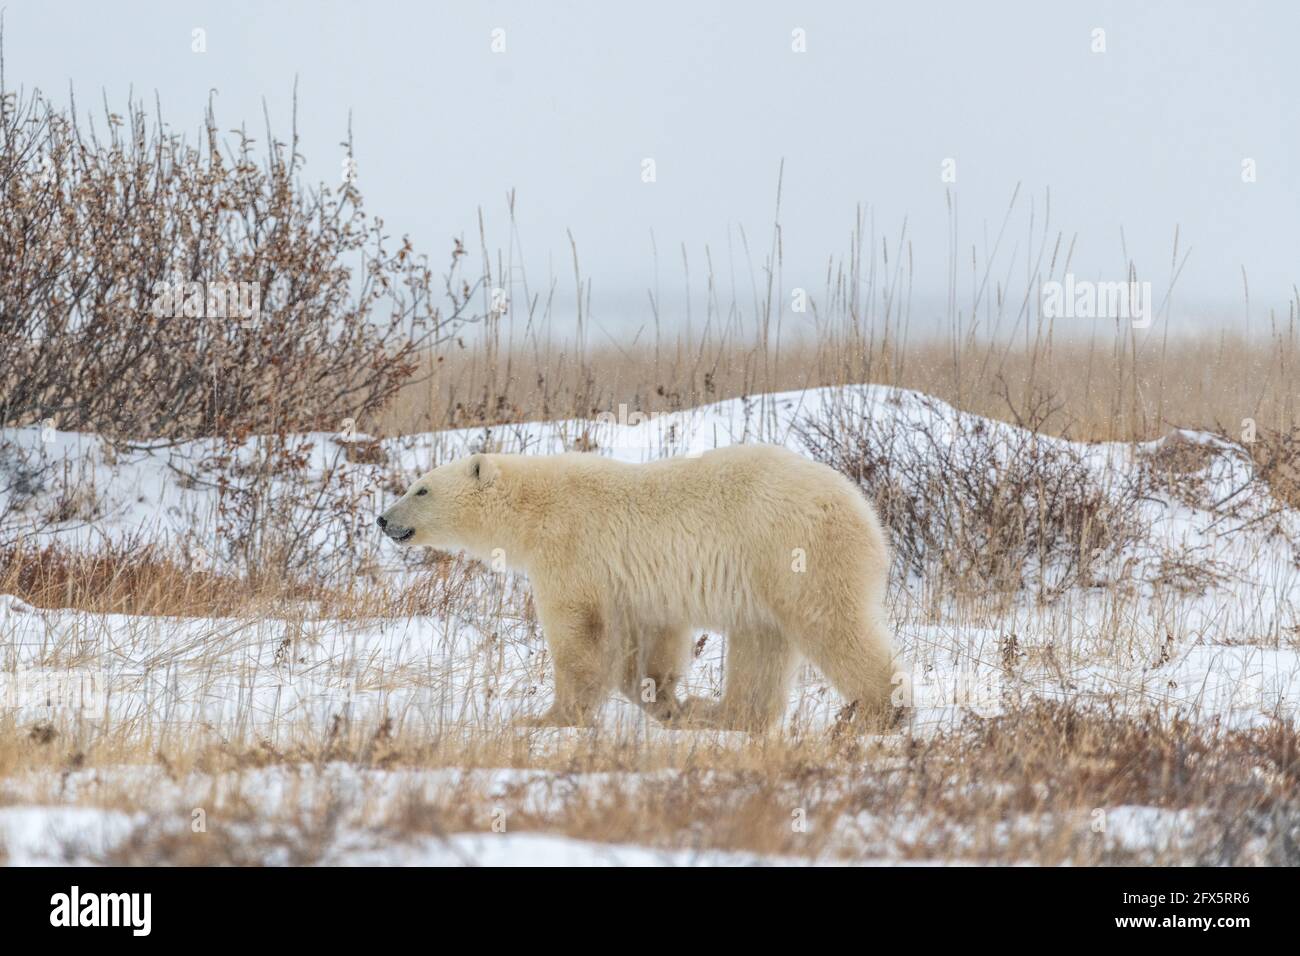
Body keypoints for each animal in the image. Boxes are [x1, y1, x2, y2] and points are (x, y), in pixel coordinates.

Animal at [377, 444, 897, 732]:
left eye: (421, 488)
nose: (383, 519)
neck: (535, 506)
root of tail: (865, 513)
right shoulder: (639, 586)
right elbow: (650, 646)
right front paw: (668, 706)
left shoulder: (573, 551)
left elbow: (580, 637)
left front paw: (549, 720)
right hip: (764, 576)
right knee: (761, 645)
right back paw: (719, 715)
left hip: (793, 552)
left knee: (833, 626)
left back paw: (882, 713)